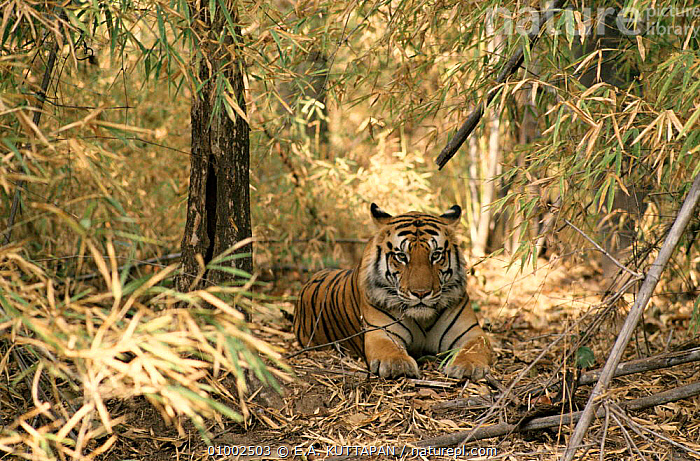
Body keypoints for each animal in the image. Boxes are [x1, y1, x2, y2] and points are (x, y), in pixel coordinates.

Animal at [294, 203, 493, 380]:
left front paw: (468, 365)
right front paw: (397, 364)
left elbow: (475, 346)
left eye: (435, 255)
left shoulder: (471, 332)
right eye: (401, 256)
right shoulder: (380, 332)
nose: (421, 293)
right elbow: (388, 349)